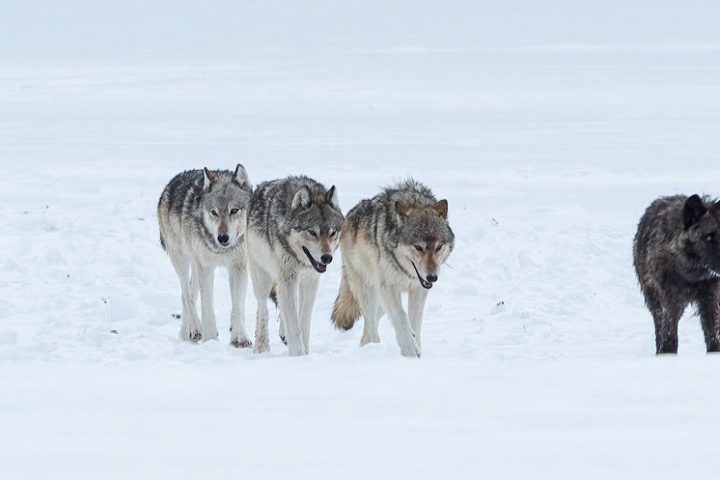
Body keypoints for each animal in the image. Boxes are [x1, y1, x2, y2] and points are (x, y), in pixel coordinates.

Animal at [158, 164, 253, 347]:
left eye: (234, 211)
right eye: (214, 212)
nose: (222, 238)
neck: (221, 250)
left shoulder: (238, 266)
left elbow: (238, 306)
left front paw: (239, 338)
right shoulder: (206, 267)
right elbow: (207, 306)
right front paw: (210, 339)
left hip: (196, 265)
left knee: (189, 294)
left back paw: (184, 332)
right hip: (182, 261)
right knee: (186, 295)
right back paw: (194, 329)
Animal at [247, 176, 343, 356]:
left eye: (332, 232)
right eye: (312, 232)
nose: (327, 258)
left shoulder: (311, 281)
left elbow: (303, 319)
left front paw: (305, 351)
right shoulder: (287, 278)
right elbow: (293, 321)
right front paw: (298, 354)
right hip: (263, 277)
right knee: (262, 308)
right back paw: (261, 346)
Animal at [331, 179, 454, 357]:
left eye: (438, 247)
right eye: (418, 247)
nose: (432, 277)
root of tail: (348, 217)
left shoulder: (418, 290)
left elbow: (414, 322)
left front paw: (416, 347)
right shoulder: (388, 287)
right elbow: (401, 317)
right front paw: (410, 349)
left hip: (380, 300)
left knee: (371, 323)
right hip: (369, 290)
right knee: (371, 324)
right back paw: (373, 349)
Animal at [633, 194, 720, 354]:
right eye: (708, 237)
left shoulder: (711, 299)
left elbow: (714, 337)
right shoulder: (670, 301)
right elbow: (668, 337)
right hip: (654, 301)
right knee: (659, 329)